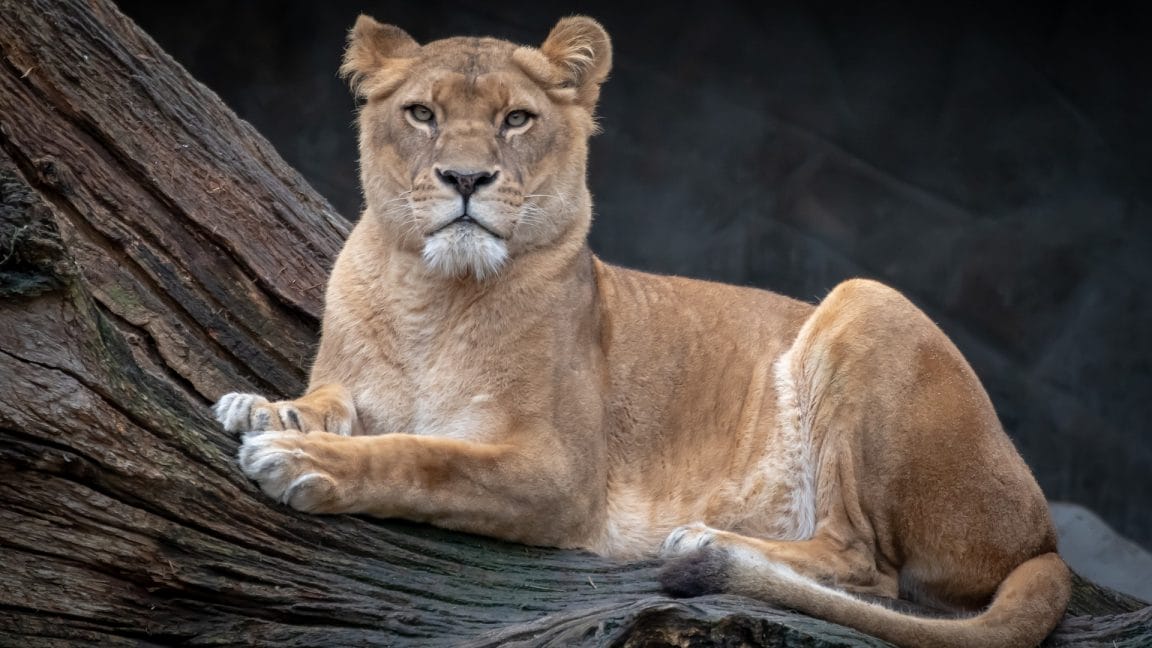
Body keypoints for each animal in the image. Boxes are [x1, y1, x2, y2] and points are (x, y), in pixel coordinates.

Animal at [213, 15, 1071, 647]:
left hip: (867, 304)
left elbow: (424, 457)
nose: (465, 178)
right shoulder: (358, 378)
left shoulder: (559, 472)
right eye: (421, 113)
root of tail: (1046, 537)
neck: (431, 291)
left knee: (867, 565)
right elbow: (335, 399)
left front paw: (300, 459)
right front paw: (268, 409)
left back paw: (705, 546)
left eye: (516, 119)